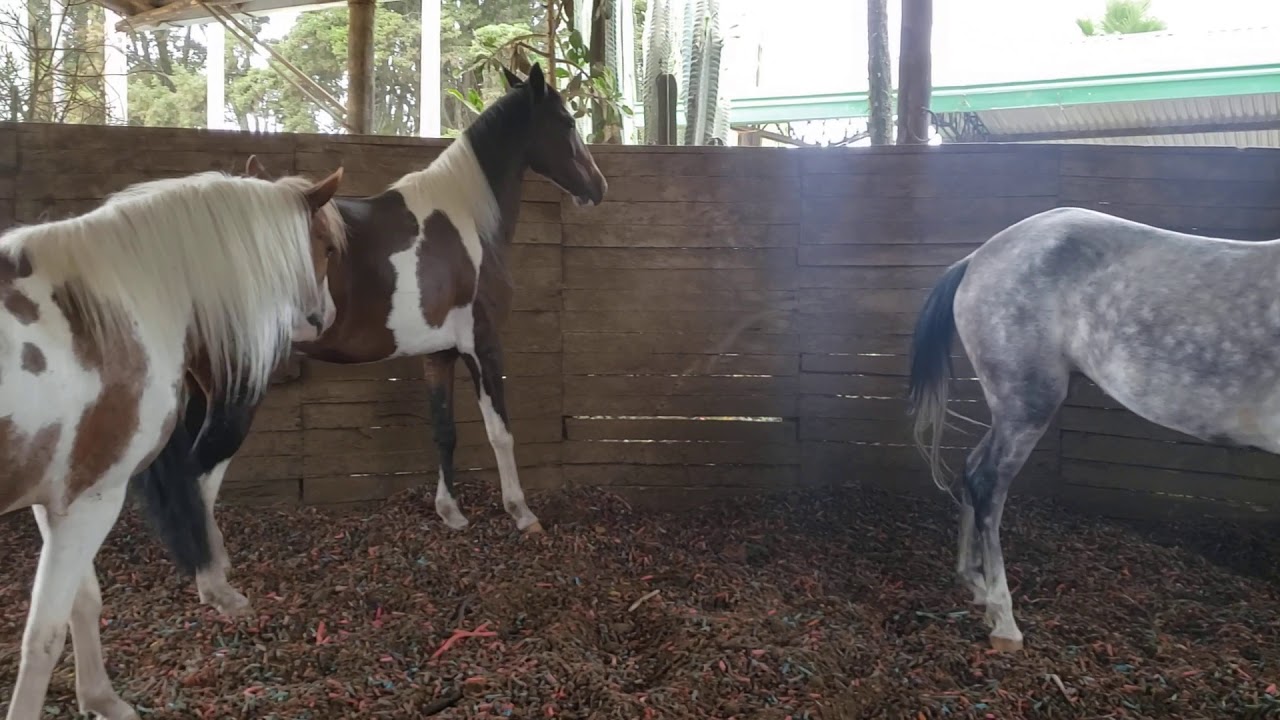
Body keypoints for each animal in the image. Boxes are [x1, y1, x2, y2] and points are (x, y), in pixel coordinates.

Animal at [0, 165, 346, 720]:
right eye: (328, 248)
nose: (327, 315)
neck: (109, 316)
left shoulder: (57, 497)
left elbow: (82, 601)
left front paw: (101, 698)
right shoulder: (94, 498)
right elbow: (44, 637)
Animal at [128, 61, 608, 618]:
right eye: (568, 121)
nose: (598, 186)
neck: (464, 218)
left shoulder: (438, 354)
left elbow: (444, 431)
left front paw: (450, 513)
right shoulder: (482, 346)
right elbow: (500, 432)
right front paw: (522, 513)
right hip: (235, 392)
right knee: (202, 476)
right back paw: (217, 588)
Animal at [906, 204, 1280, 652]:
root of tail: (976, 258)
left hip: (1010, 412)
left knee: (971, 470)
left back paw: (974, 584)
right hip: (1026, 406)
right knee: (988, 486)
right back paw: (1004, 619)